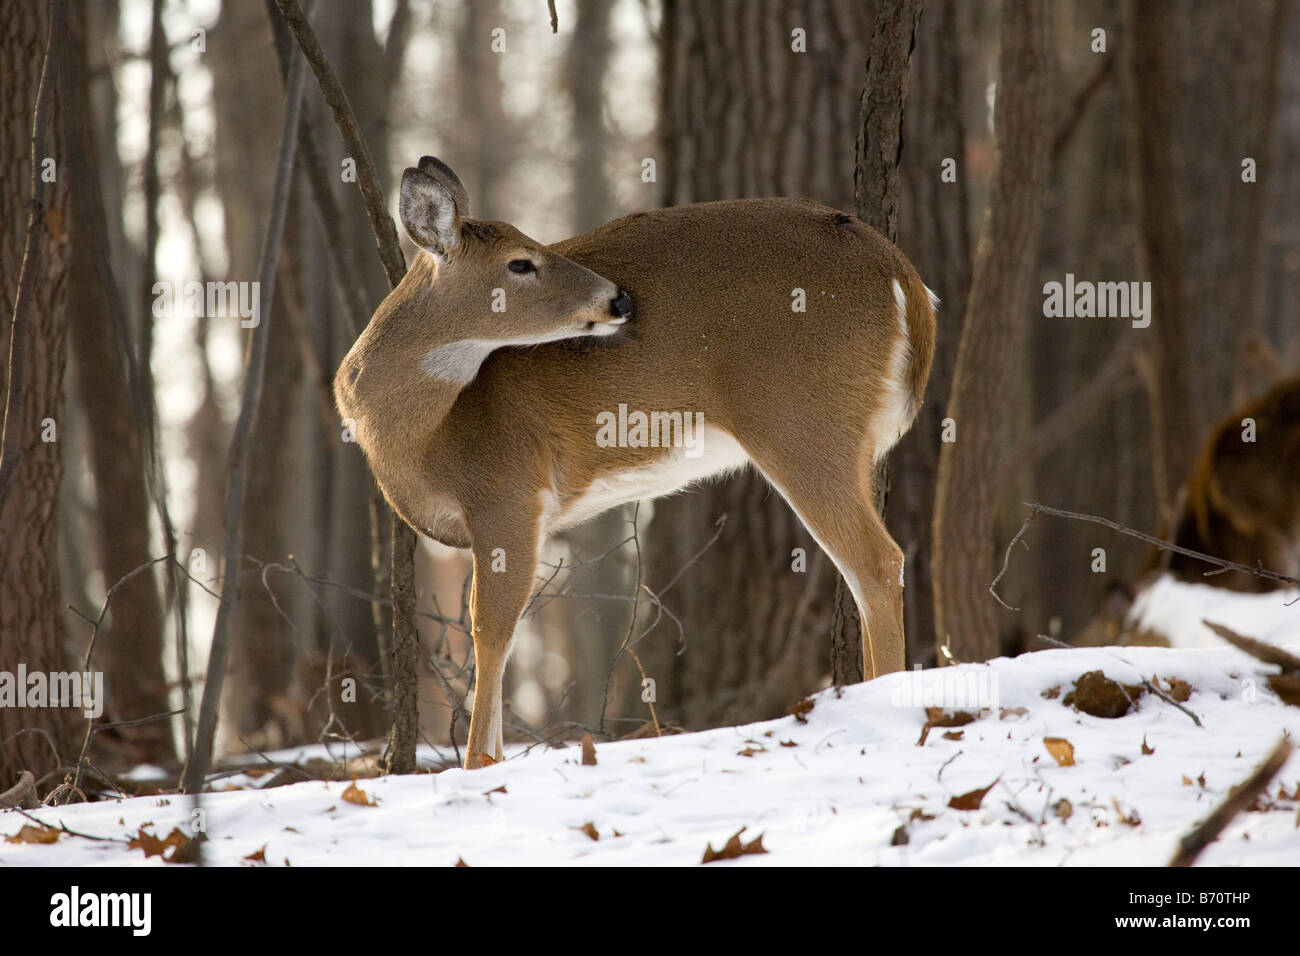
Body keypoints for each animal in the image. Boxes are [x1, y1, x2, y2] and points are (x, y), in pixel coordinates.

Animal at [334, 156, 937, 769]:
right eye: (520, 262)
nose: (620, 301)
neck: (418, 434)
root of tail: (902, 275)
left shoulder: (508, 491)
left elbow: (491, 624)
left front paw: (480, 762)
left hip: (802, 421)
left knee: (876, 561)